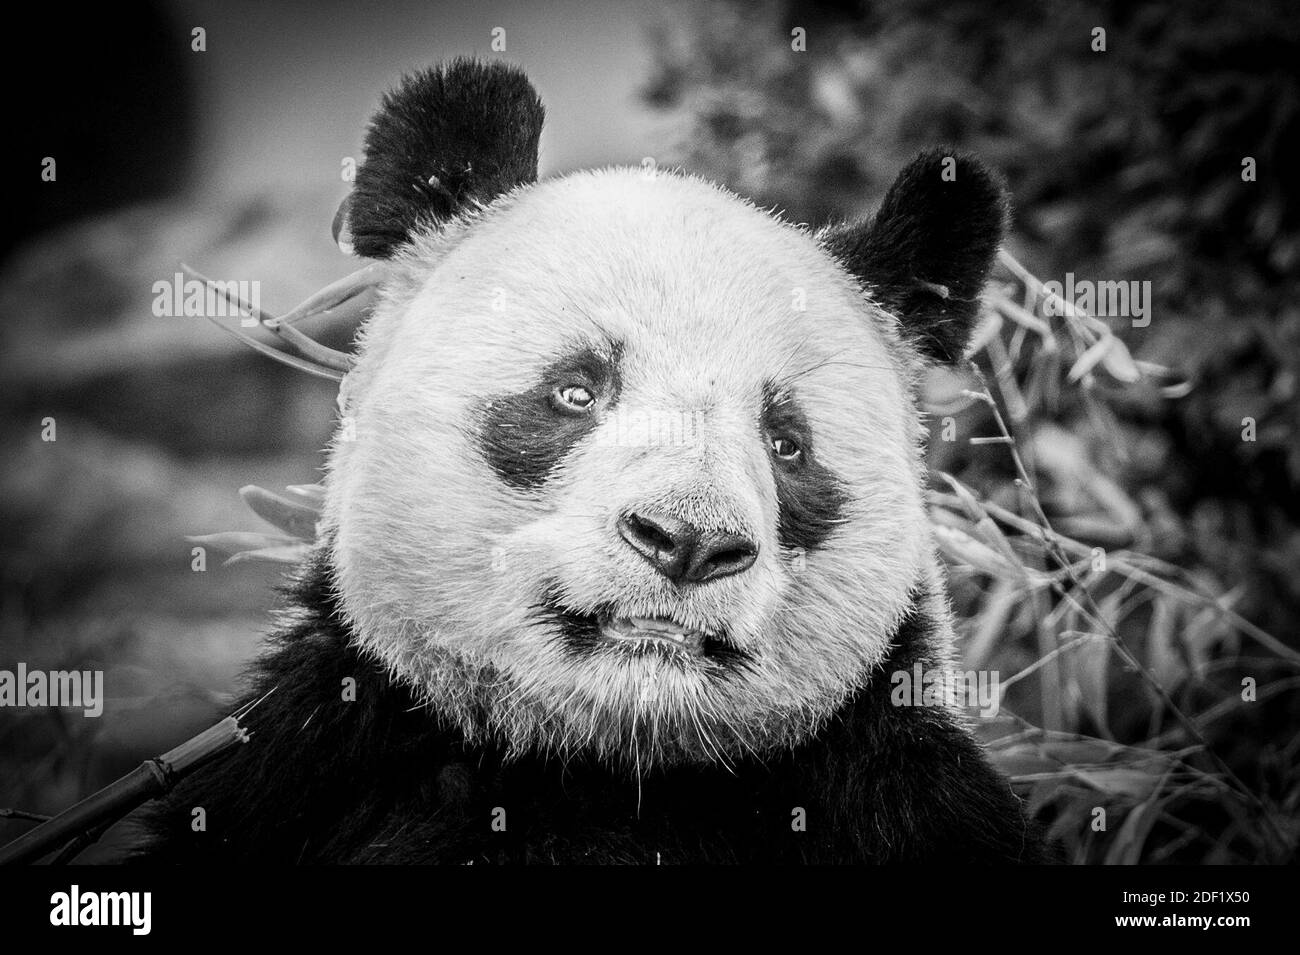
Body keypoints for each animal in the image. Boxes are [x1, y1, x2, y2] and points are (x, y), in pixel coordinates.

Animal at [139, 59, 1044, 864]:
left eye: (786, 443)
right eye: (576, 391)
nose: (688, 540)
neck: (617, 760)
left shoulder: (897, 790)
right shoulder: (313, 765)